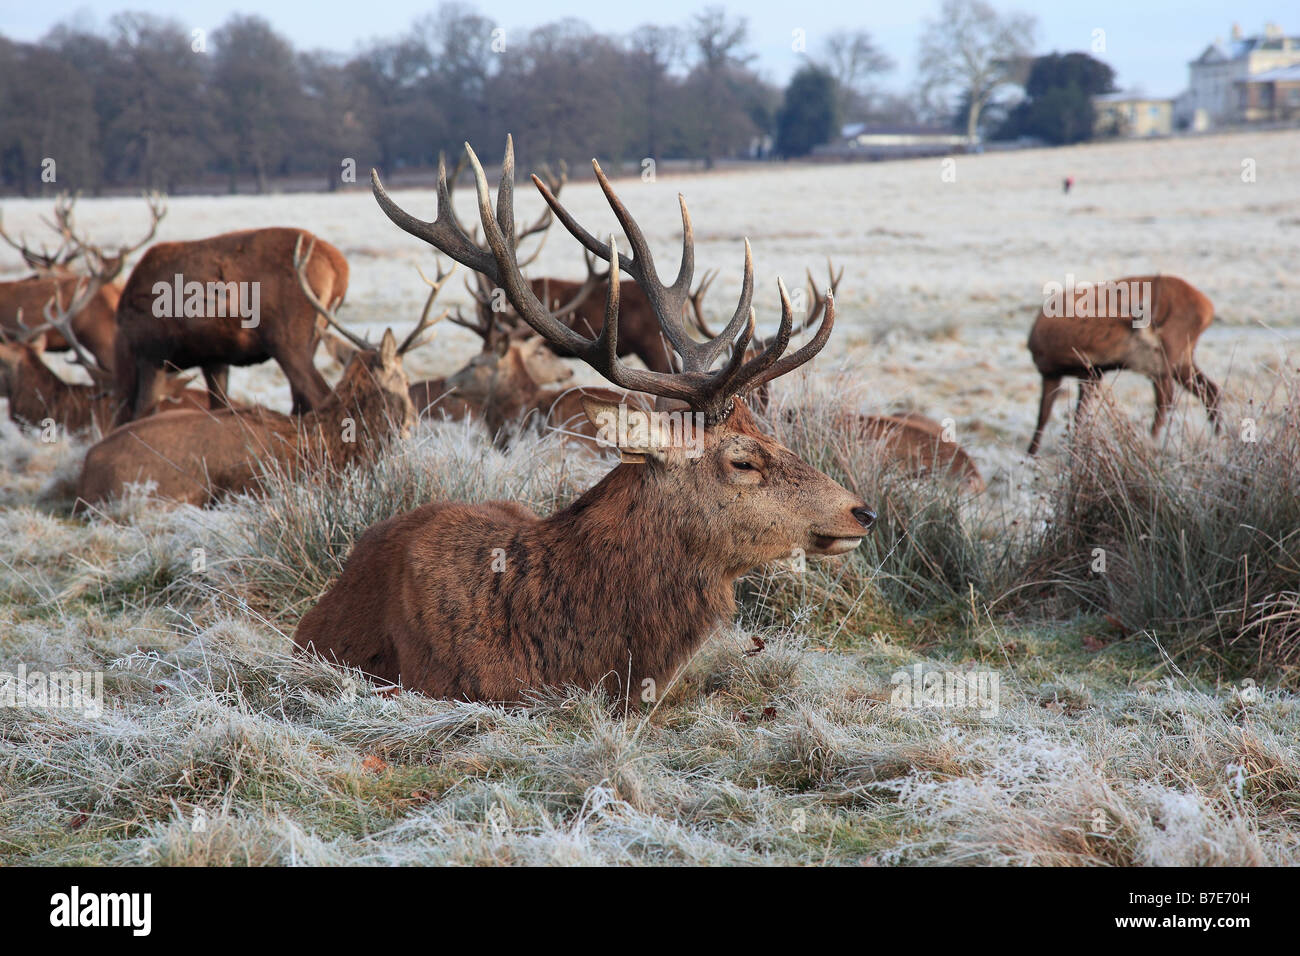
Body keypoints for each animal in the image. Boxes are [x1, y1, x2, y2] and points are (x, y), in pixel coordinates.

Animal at [111, 226, 349, 424]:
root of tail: (339, 269)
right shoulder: (213, 358)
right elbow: (218, 406)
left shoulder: (153, 352)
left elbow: (142, 412)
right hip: (315, 335)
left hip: (286, 339)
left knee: (317, 394)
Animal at [1026, 274, 1222, 455]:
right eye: (1154, 347)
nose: (1167, 363)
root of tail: (1209, 308)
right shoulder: (1052, 373)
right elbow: (1043, 416)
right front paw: (1031, 452)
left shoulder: (1091, 372)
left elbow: (1079, 416)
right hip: (1183, 358)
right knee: (1210, 390)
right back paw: (1217, 436)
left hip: (1174, 355)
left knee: (1166, 399)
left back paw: (1150, 442)